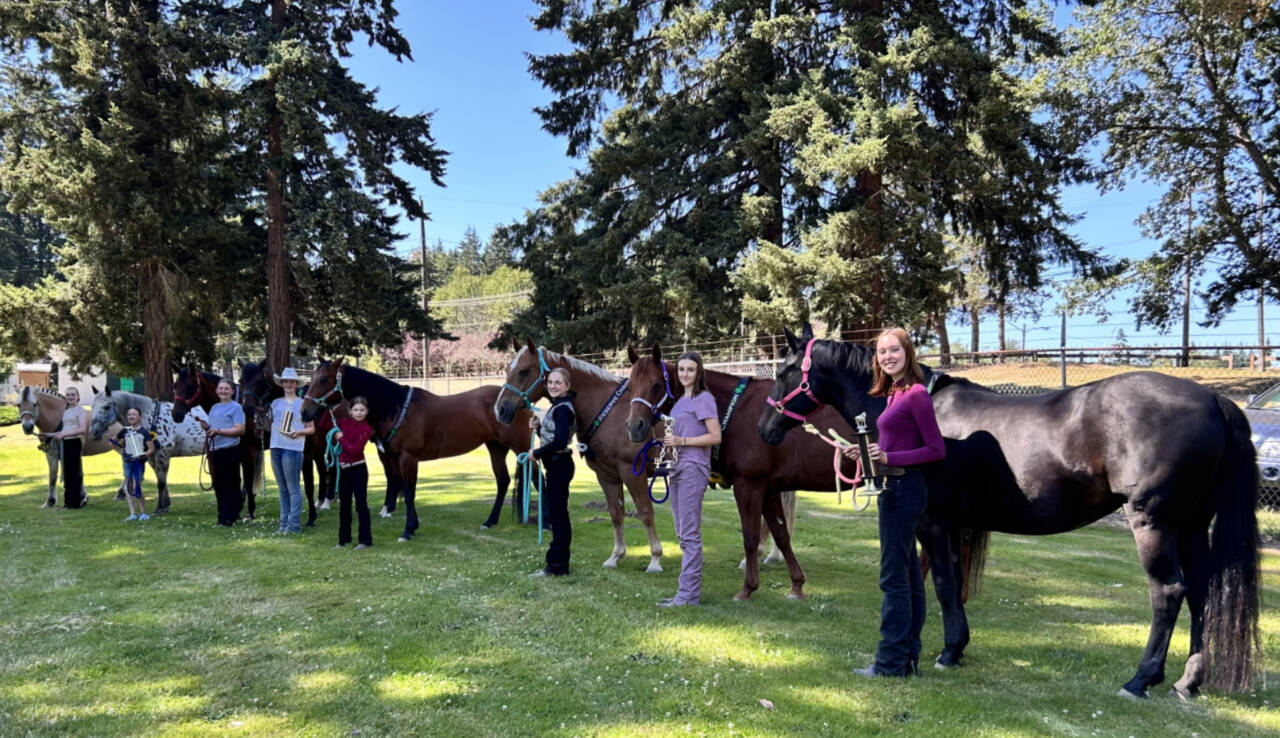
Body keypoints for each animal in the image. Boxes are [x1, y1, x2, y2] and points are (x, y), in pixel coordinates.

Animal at [171, 365, 265, 520]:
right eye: (175, 386)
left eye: (191, 385)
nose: (176, 414)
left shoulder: (248, 451)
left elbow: (246, 481)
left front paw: (250, 513)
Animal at [298, 358, 536, 541]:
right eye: (311, 379)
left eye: (323, 379)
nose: (304, 412)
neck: (395, 407)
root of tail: (518, 401)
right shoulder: (395, 457)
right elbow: (402, 487)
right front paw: (410, 526)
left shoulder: (408, 457)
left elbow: (410, 492)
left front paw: (406, 531)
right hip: (496, 448)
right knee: (503, 481)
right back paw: (490, 521)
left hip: (521, 448)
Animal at [493, 341, 665, 573]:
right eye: (507, 369)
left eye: (523, 370)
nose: (500, 410)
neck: (609, 412)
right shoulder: (606, 475)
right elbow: (615, 513)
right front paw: (615, 556)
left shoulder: (632, 472)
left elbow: (645, 512)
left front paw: (655, 559)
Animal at [624, 342, 873, 600]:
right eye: (630, 385)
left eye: (656, 384)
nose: (634, 427)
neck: (737, 411)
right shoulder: (769, 489)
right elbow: (781, 535)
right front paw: (796, 585)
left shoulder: (749, 486)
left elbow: (750, 537)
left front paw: (748, 588)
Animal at [758, 324, 1261, 698]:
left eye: (785, 370)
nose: (765, 428)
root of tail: (1215, 400)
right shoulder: (952, 524)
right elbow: (946, 583)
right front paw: (946, 649)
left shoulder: (934, 521)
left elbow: (944, 585)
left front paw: (946, 653)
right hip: (1191, 526)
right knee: (1201, 592)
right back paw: (1187, 682)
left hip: (1154, 523)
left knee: (1169, 592)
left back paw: (1140, 680)